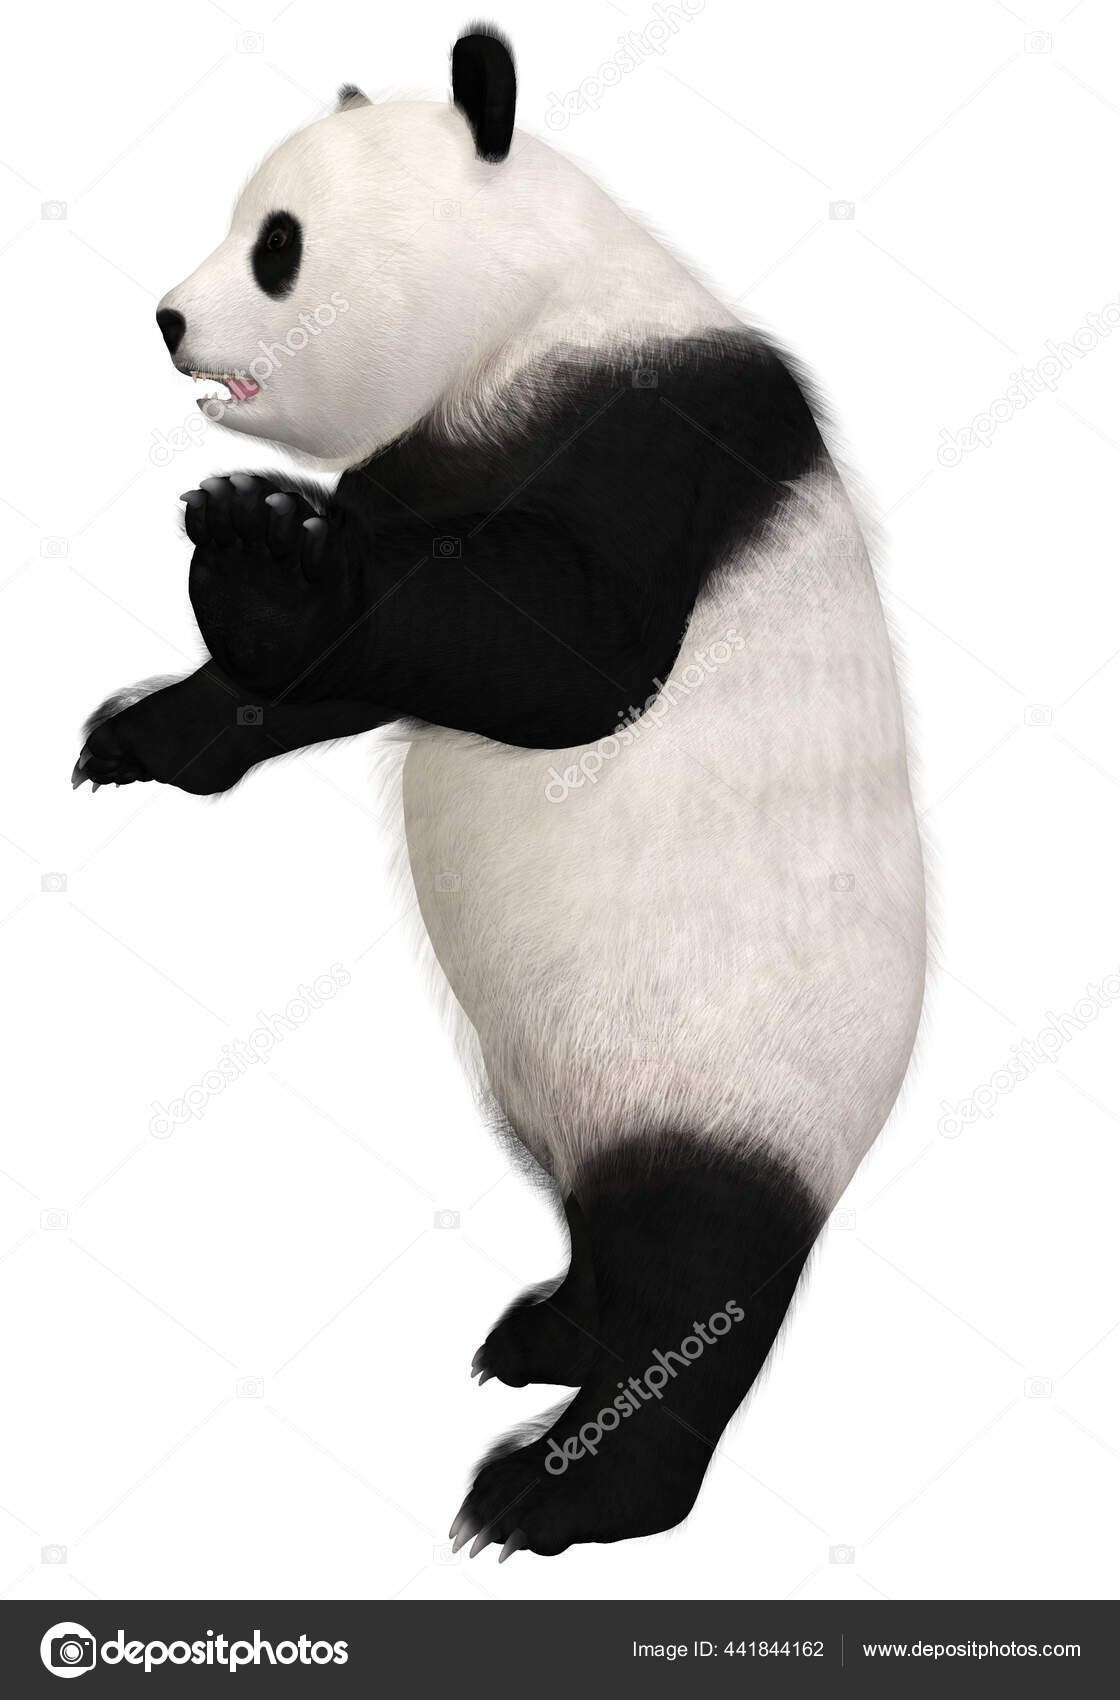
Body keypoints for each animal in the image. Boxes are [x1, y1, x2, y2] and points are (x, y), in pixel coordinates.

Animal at [73, 28, 926, 1559]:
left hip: (737, 1073)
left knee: (695, 1278)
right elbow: (370, 662)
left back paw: (559, 1488)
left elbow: (572, 653)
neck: (536, 304)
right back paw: (548, 1334)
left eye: (278, 244)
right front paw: (154, 718)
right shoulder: (434, 458)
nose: (166, 320)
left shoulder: (647, 429)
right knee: (607, 1238)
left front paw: (258, 547)